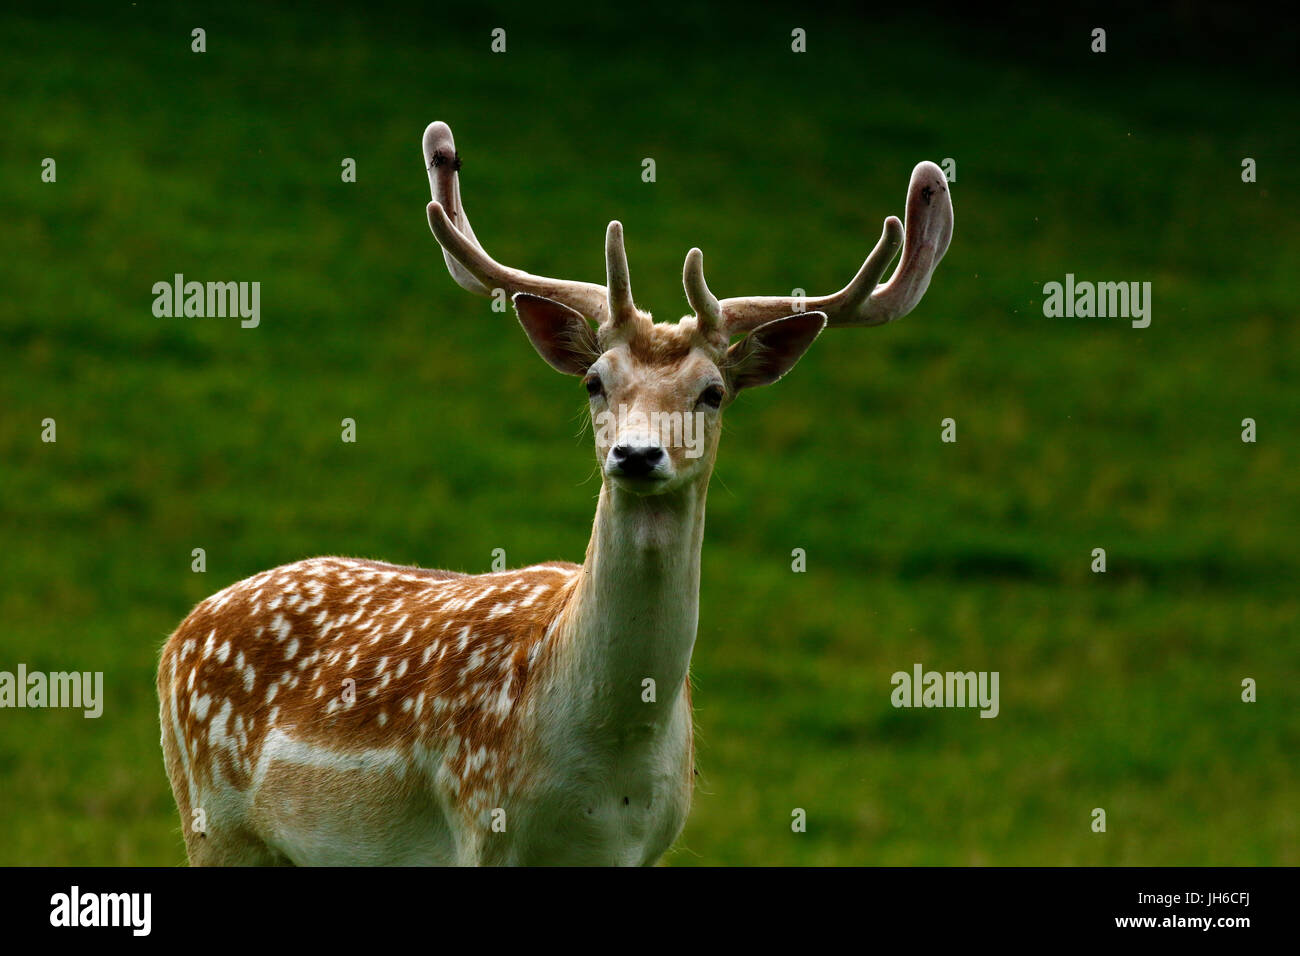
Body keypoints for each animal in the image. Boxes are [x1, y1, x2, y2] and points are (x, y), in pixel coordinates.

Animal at [156, 121, 953, 866]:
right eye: (595, 381)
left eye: (714, 392)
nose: (637, 453)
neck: (609, 774)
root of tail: (175, 638)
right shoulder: (480, 822)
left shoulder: (649, 844)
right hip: (212, 819)